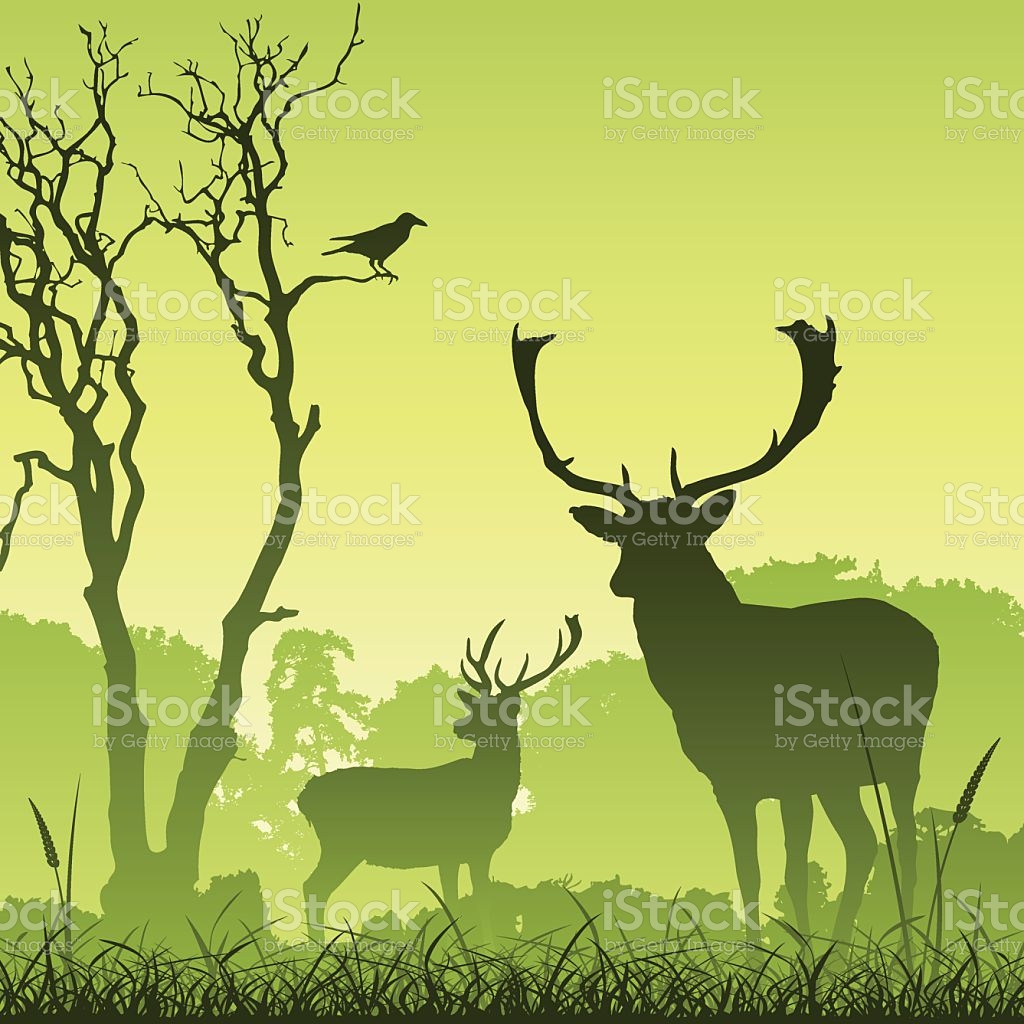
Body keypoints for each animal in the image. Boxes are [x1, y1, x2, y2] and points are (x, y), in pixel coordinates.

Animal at [298, 615, 583, 943]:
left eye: (493, 710)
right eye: (477, 706)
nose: (458, 726)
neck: (495, 792)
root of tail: (304, 797)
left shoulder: (466, 853)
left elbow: (465, 898)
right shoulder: (461, 850)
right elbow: (467, 900)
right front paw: (476, 947)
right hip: (341, 845)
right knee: (313, 885)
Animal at [510, 318, 938, 944]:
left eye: (684, 534)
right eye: (623, 536)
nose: (621, 582)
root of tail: (926, 634)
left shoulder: (792, 768)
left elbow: (791, 869)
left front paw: (796, 952)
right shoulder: (729, 780)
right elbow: (753, 872)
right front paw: (767, 952)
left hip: (900, 746)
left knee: (898, 837)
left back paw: (907, 942)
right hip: (840, 772)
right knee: (865, 842)